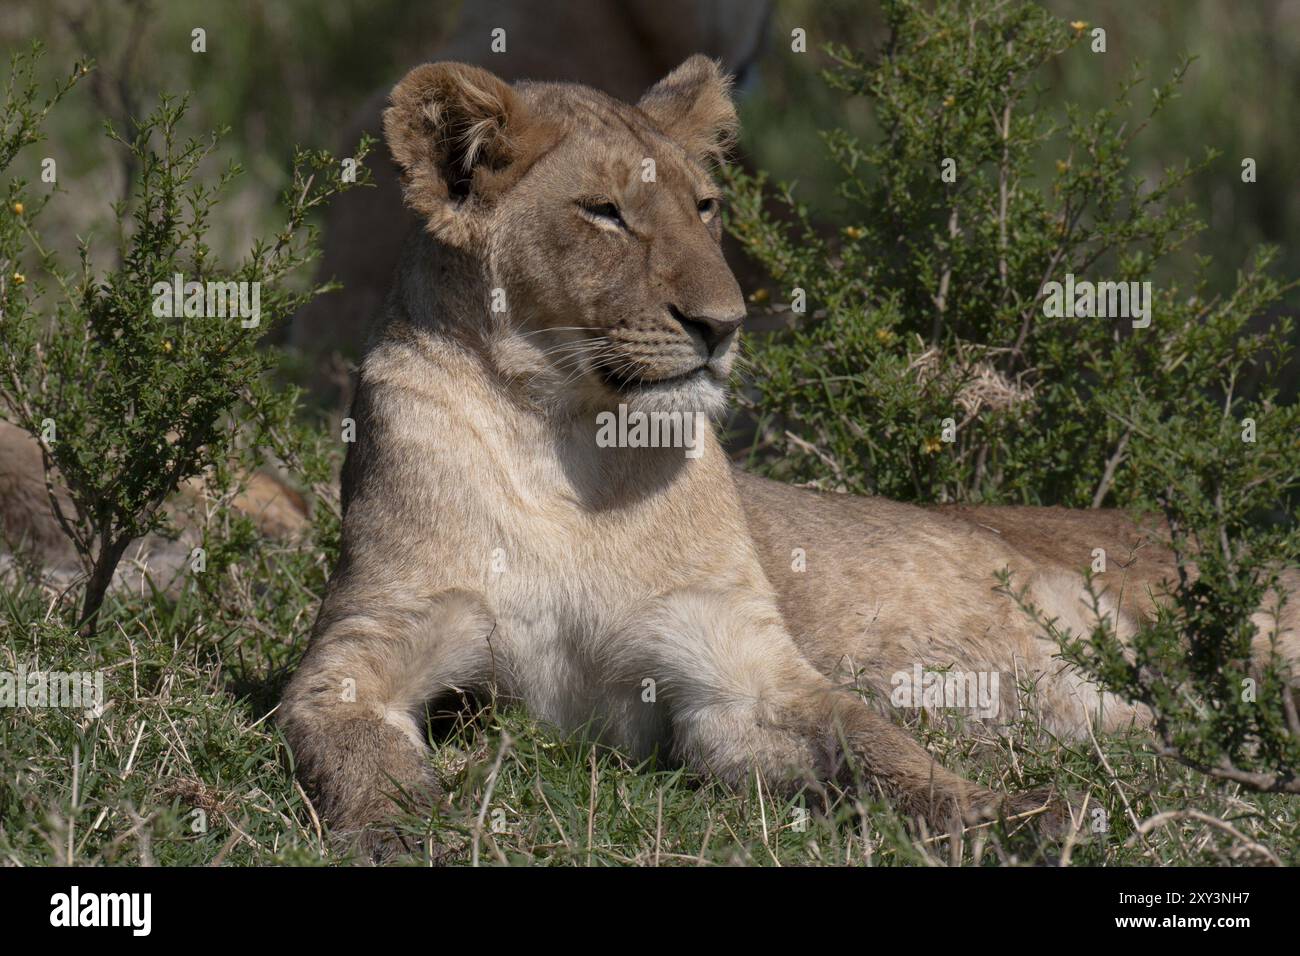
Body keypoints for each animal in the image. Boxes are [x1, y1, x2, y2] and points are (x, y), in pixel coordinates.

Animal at [278, 56, 1300, 855]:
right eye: (604, 213)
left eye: (705, 206)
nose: (724, 326)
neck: (565, 443)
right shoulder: (366, 643)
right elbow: (352, 745)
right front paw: (395, 829)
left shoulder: (739, 667)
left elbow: (881, 746)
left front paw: (1012, 816)